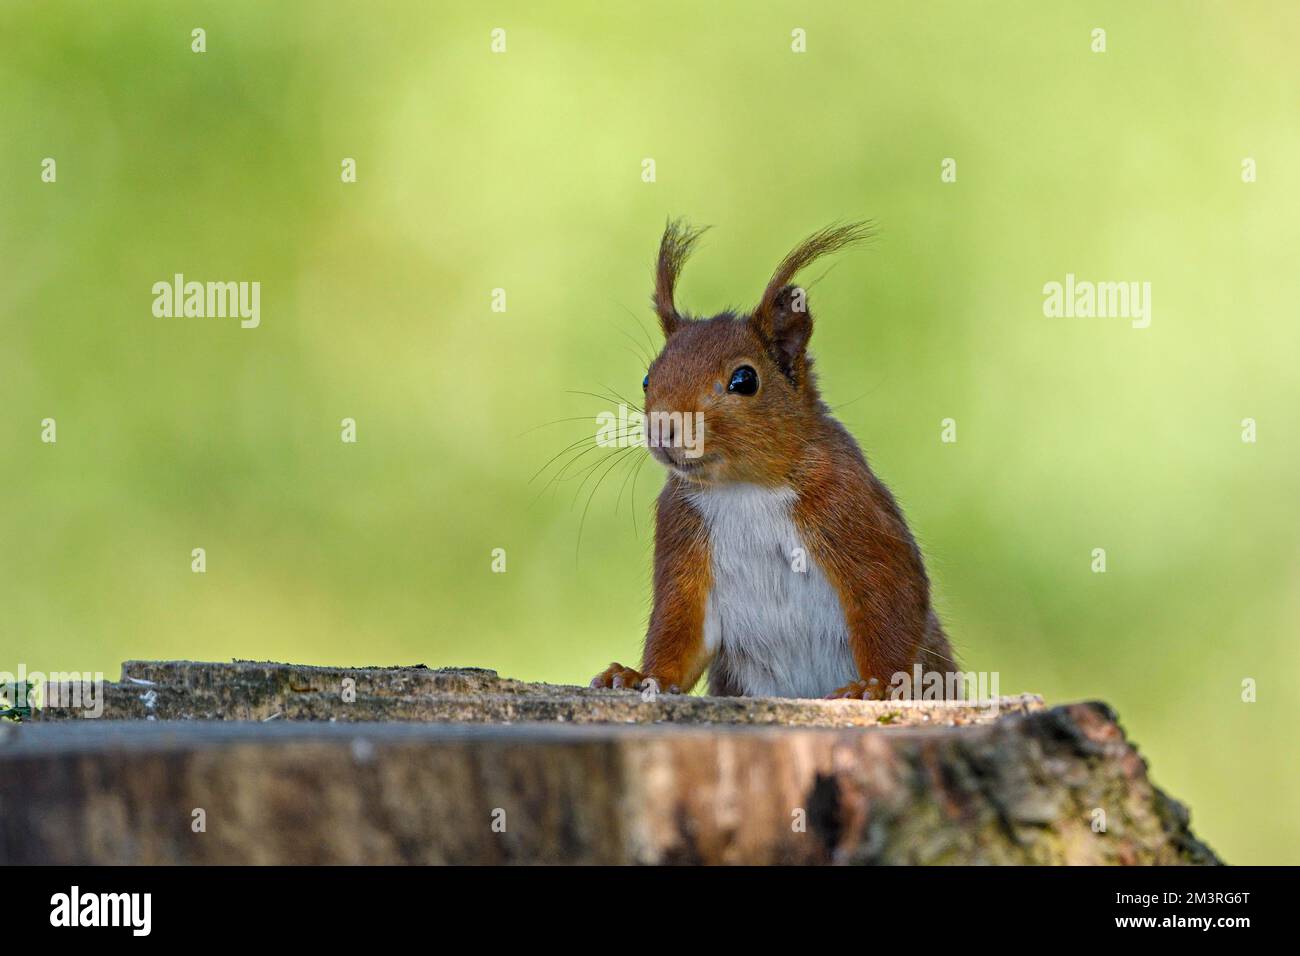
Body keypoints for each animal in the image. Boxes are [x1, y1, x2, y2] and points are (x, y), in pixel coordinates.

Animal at [590, 220, 956, 700]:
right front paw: (639, 677)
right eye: (648, 378)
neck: (746, 488)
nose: (663, 429)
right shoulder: (681, 533)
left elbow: (891, 601)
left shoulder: (852, 508)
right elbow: (680, 628)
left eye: (745, 380)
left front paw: (873, 688)